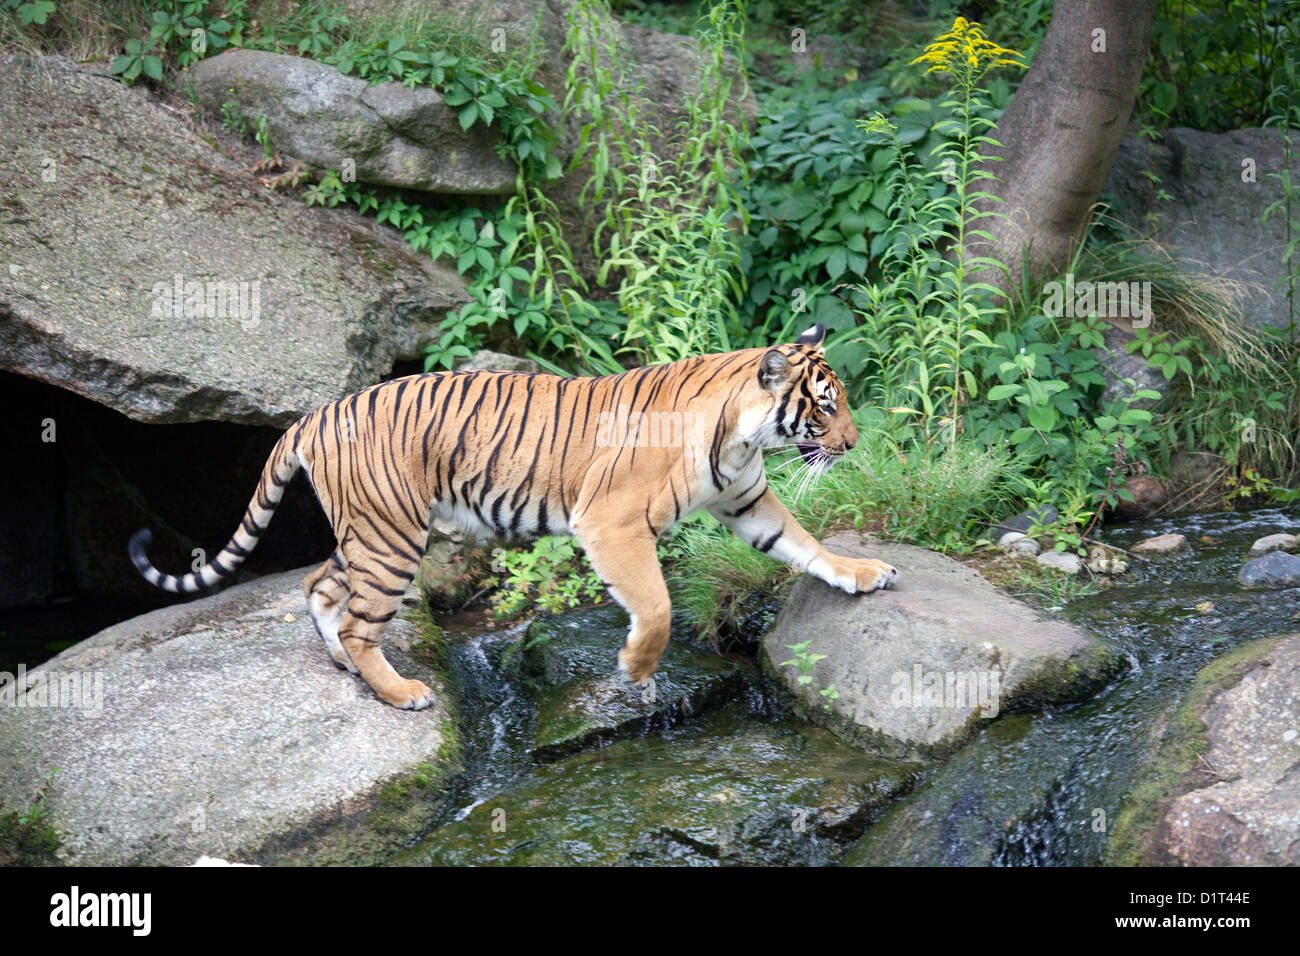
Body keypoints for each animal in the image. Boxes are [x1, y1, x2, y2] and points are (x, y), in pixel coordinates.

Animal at [129, 323, 899, 710]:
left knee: (318, 587)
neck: (739, 437)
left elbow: (804, 544)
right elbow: (654, 607)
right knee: (354, 617)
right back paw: (401, 691)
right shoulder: (611, 523)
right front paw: (636, 670)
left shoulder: (746, 499)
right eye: (826, 404)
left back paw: (348, 668)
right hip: (392, 537)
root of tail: (314, 413)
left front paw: (864, 573)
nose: (855, 444)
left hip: (370, 533)